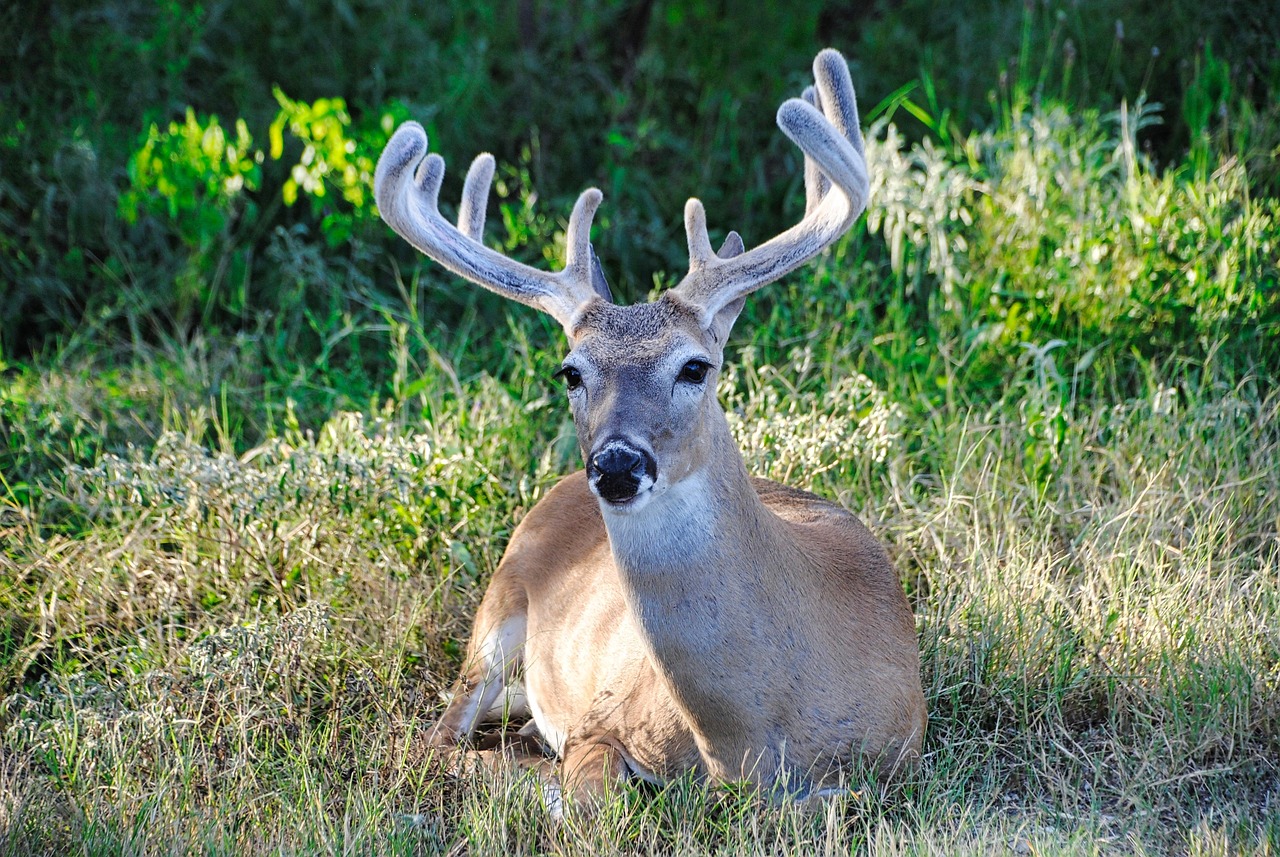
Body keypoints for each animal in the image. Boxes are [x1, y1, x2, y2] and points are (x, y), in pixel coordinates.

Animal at [374, 48, 926, 816]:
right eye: (570, 371)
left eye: (695, 365)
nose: (616, 464)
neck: (748, 736)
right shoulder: (601, 719)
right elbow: (591, 790)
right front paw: (542, 778)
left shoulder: (901, 759)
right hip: (495, 609)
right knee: (432, 741)